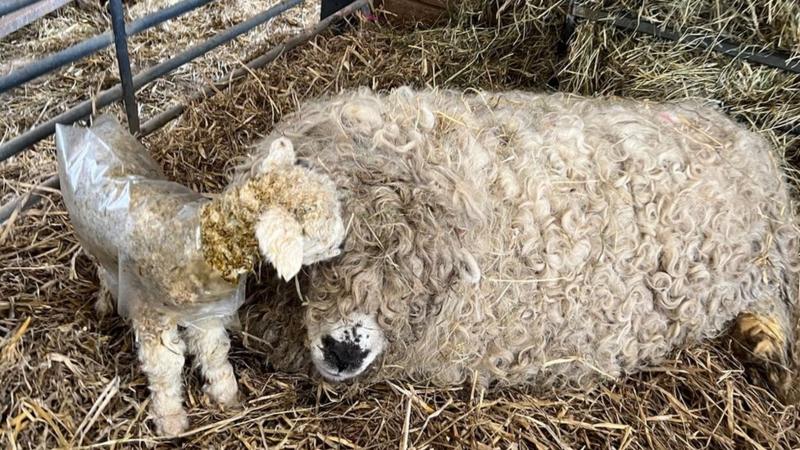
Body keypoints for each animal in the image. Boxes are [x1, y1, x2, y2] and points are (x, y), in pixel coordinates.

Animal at [54, 115, 344, 435]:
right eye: (320, 229)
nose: (342, 243)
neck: (201, 242)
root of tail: (93, 125)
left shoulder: (206, 314)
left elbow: (214, 351)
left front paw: (226, 394)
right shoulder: (152, 317)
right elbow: (165, 366)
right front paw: (171, 420)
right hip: (92, 243)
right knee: (104, 272)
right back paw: (105, 303)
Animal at [239, 86, 800, 403]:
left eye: (423, 275)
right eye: (321, 253)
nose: (344, 349)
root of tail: (752, 141)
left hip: (772, 255)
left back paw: (772, 357)